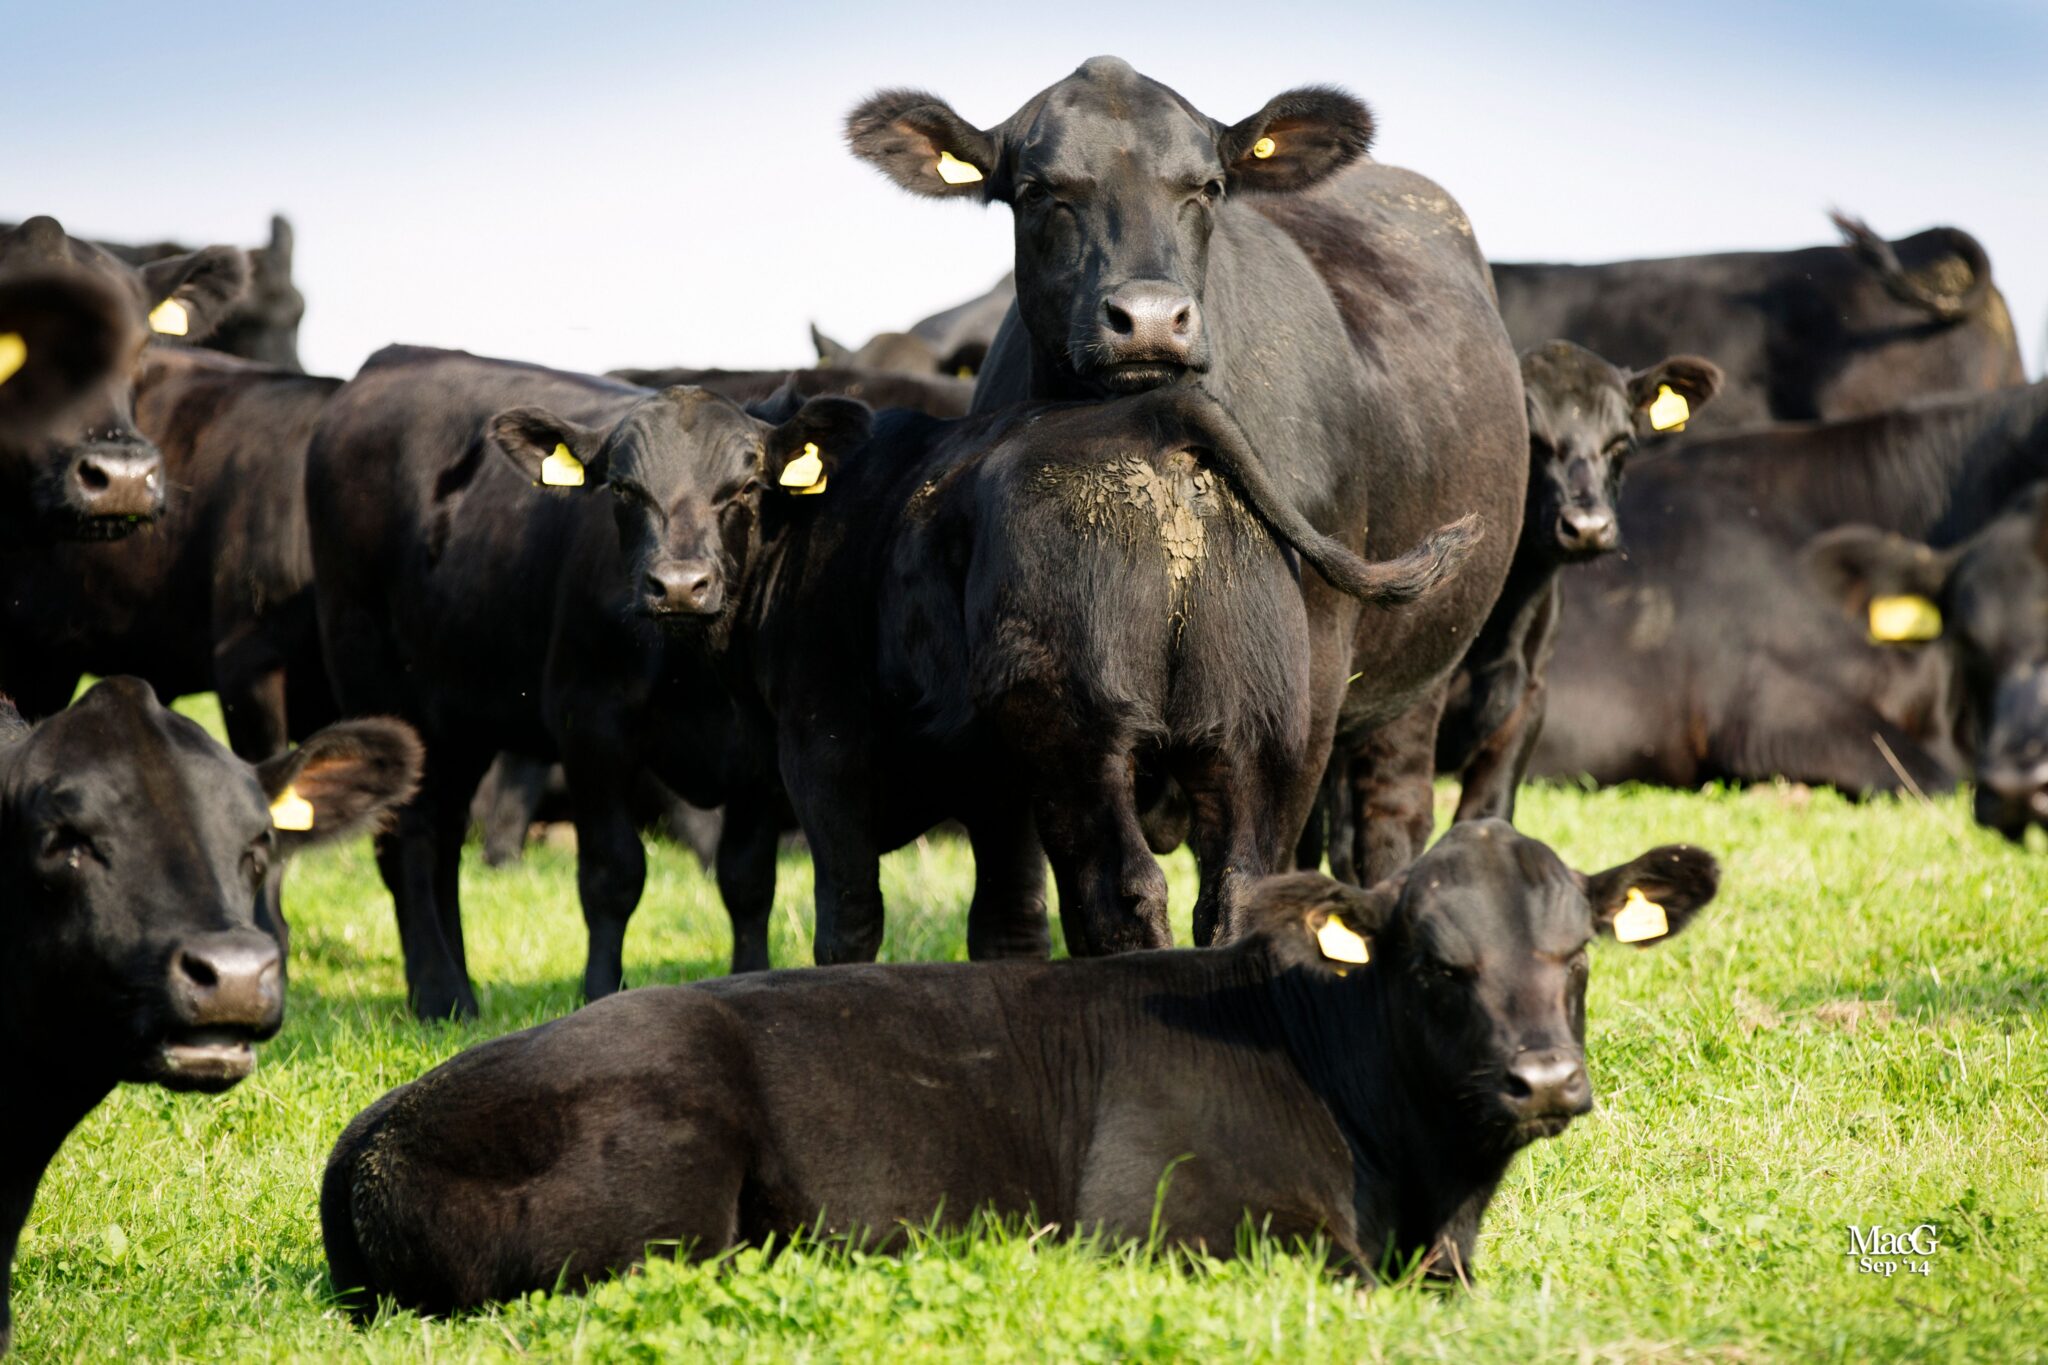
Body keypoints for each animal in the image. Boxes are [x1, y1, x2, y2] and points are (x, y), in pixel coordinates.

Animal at [320, 821, 1719, 1315]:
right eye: (1433, 964)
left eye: (1574, 952)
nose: (1543, 1081)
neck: (1429, 1188)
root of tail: (369, 1135)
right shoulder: (1172, 1219)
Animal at [847, 57, 1527, 890]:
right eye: (1039, 190)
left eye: (1207, 186)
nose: (1147, 319)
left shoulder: (1310, 680)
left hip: (1415, 673)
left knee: (1384, 817)